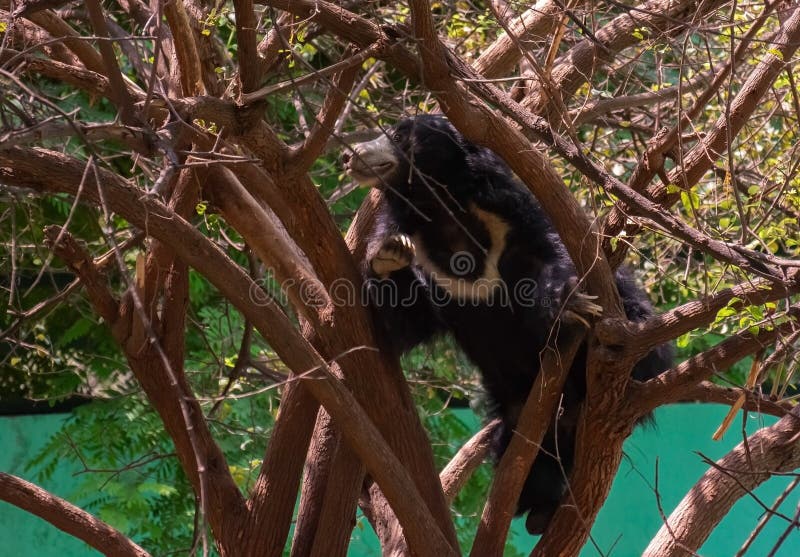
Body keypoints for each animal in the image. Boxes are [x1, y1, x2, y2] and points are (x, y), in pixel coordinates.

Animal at [342, 114, 673, 534]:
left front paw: (569, 303)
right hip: (517, 411)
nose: (350, 155)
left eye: (401, 135)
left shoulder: (513, 216)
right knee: (524, 456)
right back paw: (537, 511)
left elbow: (554, 259)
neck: (438, 206)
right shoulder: (430, 269)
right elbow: (404, 321)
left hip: (632, 345)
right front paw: (388, 253)